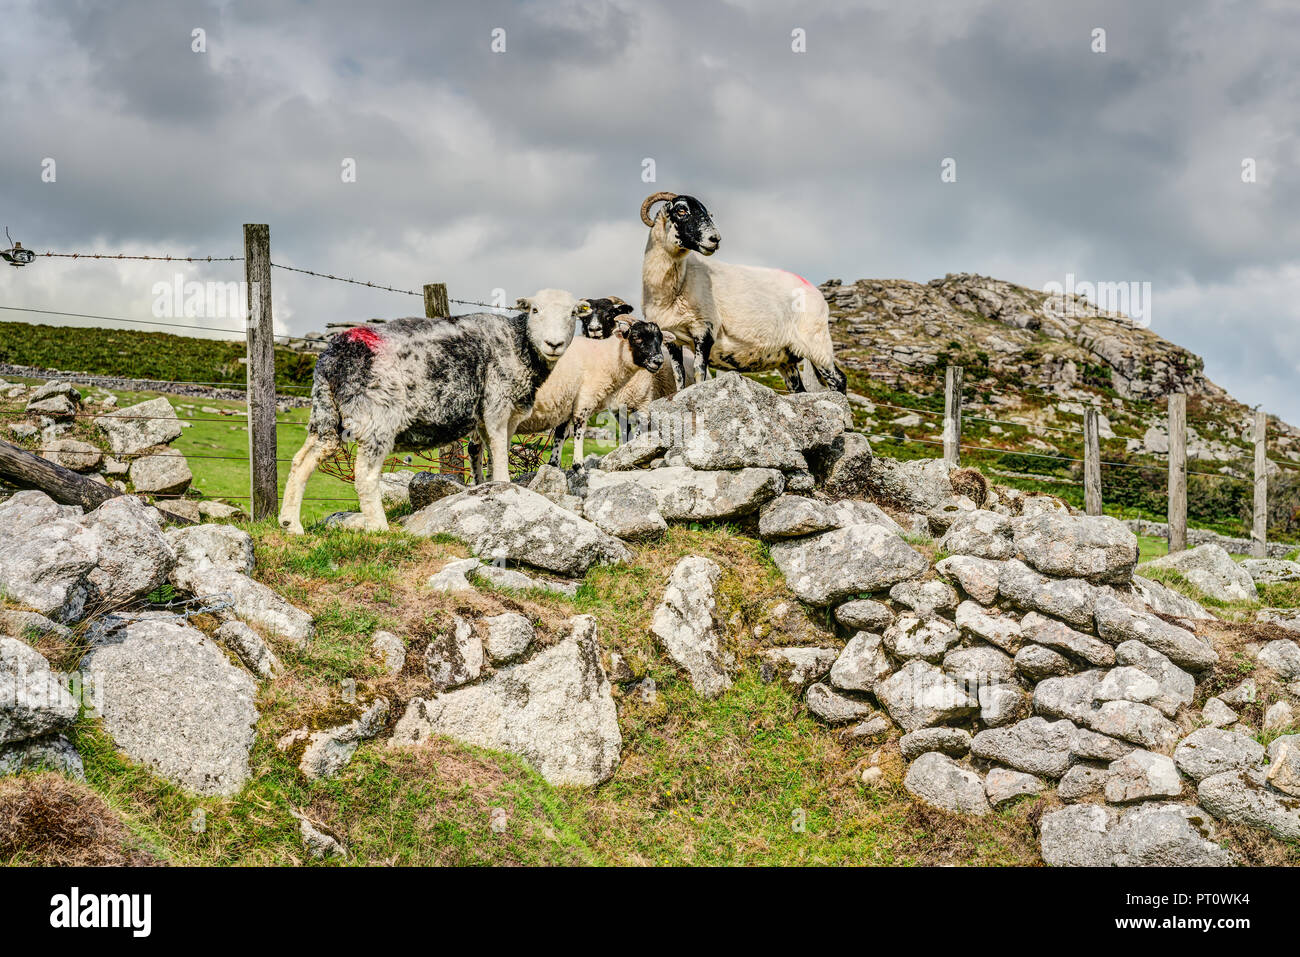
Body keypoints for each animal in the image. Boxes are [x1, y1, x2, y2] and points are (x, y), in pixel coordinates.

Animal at [278, 289, 588, 533]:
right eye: (535, 310)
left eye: (573, 313)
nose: (554, 344)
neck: (518, 344)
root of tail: (334, 355)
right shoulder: (498, 405)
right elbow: (500, 452)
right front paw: (505, 486)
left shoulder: (489, 415)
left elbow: (488, 451)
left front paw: (488, 486)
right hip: (377, 416)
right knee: (365, 474)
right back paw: (379, 528)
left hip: (325, 412)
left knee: (303, 460)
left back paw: (291, 525)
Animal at [511, 318, 666, 467]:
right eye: (636, 337)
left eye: (660, 338)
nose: (658, 361)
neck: (606, 358)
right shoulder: (584, 401)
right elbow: (579, 432)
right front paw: (579, 466)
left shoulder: (565, 405)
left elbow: (560, 436)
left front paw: (554, 465)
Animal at [639, 191, 846, 393]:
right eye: (681, 210)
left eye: (708, 213)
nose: (715, 239)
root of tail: (816, 292)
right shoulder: (672, 339)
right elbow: (679, 377)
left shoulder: (705, 330)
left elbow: (699, 375)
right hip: (786, 357)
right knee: (800, 389)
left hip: (816, 342)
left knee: (839, 379)